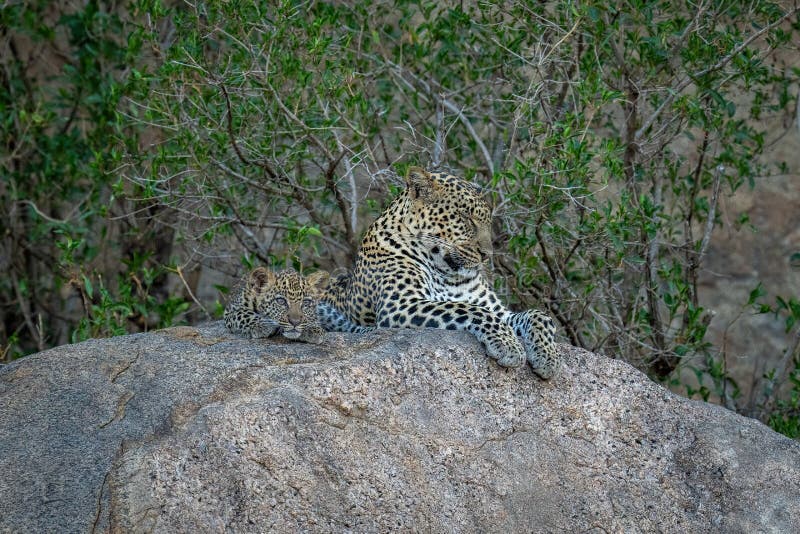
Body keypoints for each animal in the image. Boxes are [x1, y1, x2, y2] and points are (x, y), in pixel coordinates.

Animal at [318, 166, 560, 379]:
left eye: (487, 222)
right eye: (466, 218)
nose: (487, 255)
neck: (448, 273)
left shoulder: (500, 311)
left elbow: (538, 315)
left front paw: (548, 357)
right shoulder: (400, 305)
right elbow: (470, 309)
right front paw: (509, 346)